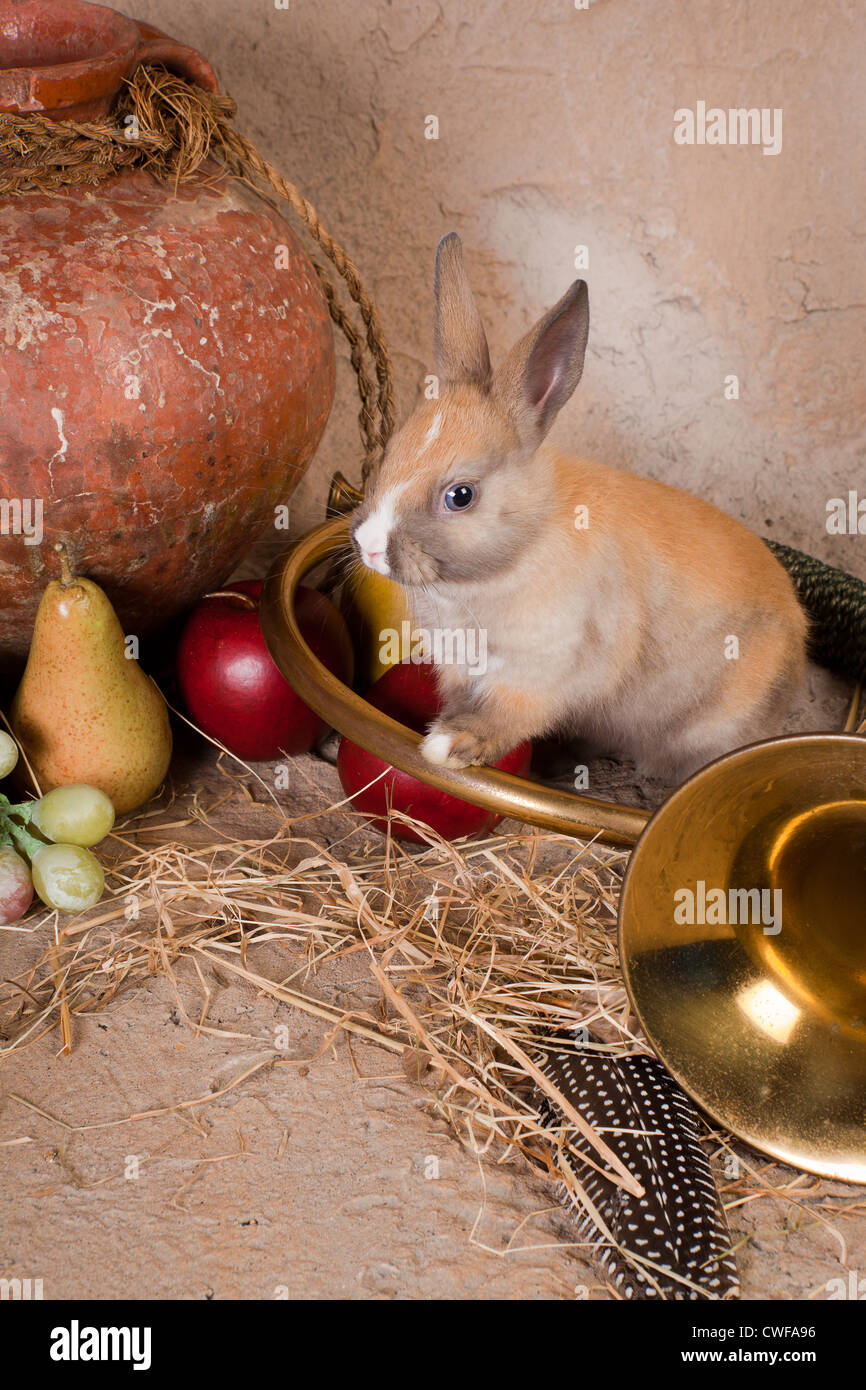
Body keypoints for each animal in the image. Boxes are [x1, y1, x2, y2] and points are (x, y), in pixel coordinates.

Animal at [350, 233, 807, 782]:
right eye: (390, 454)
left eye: (460, 495)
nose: (369, 546)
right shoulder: (460, 666)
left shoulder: (540, 675)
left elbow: (504, 717)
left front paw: (448, 746)